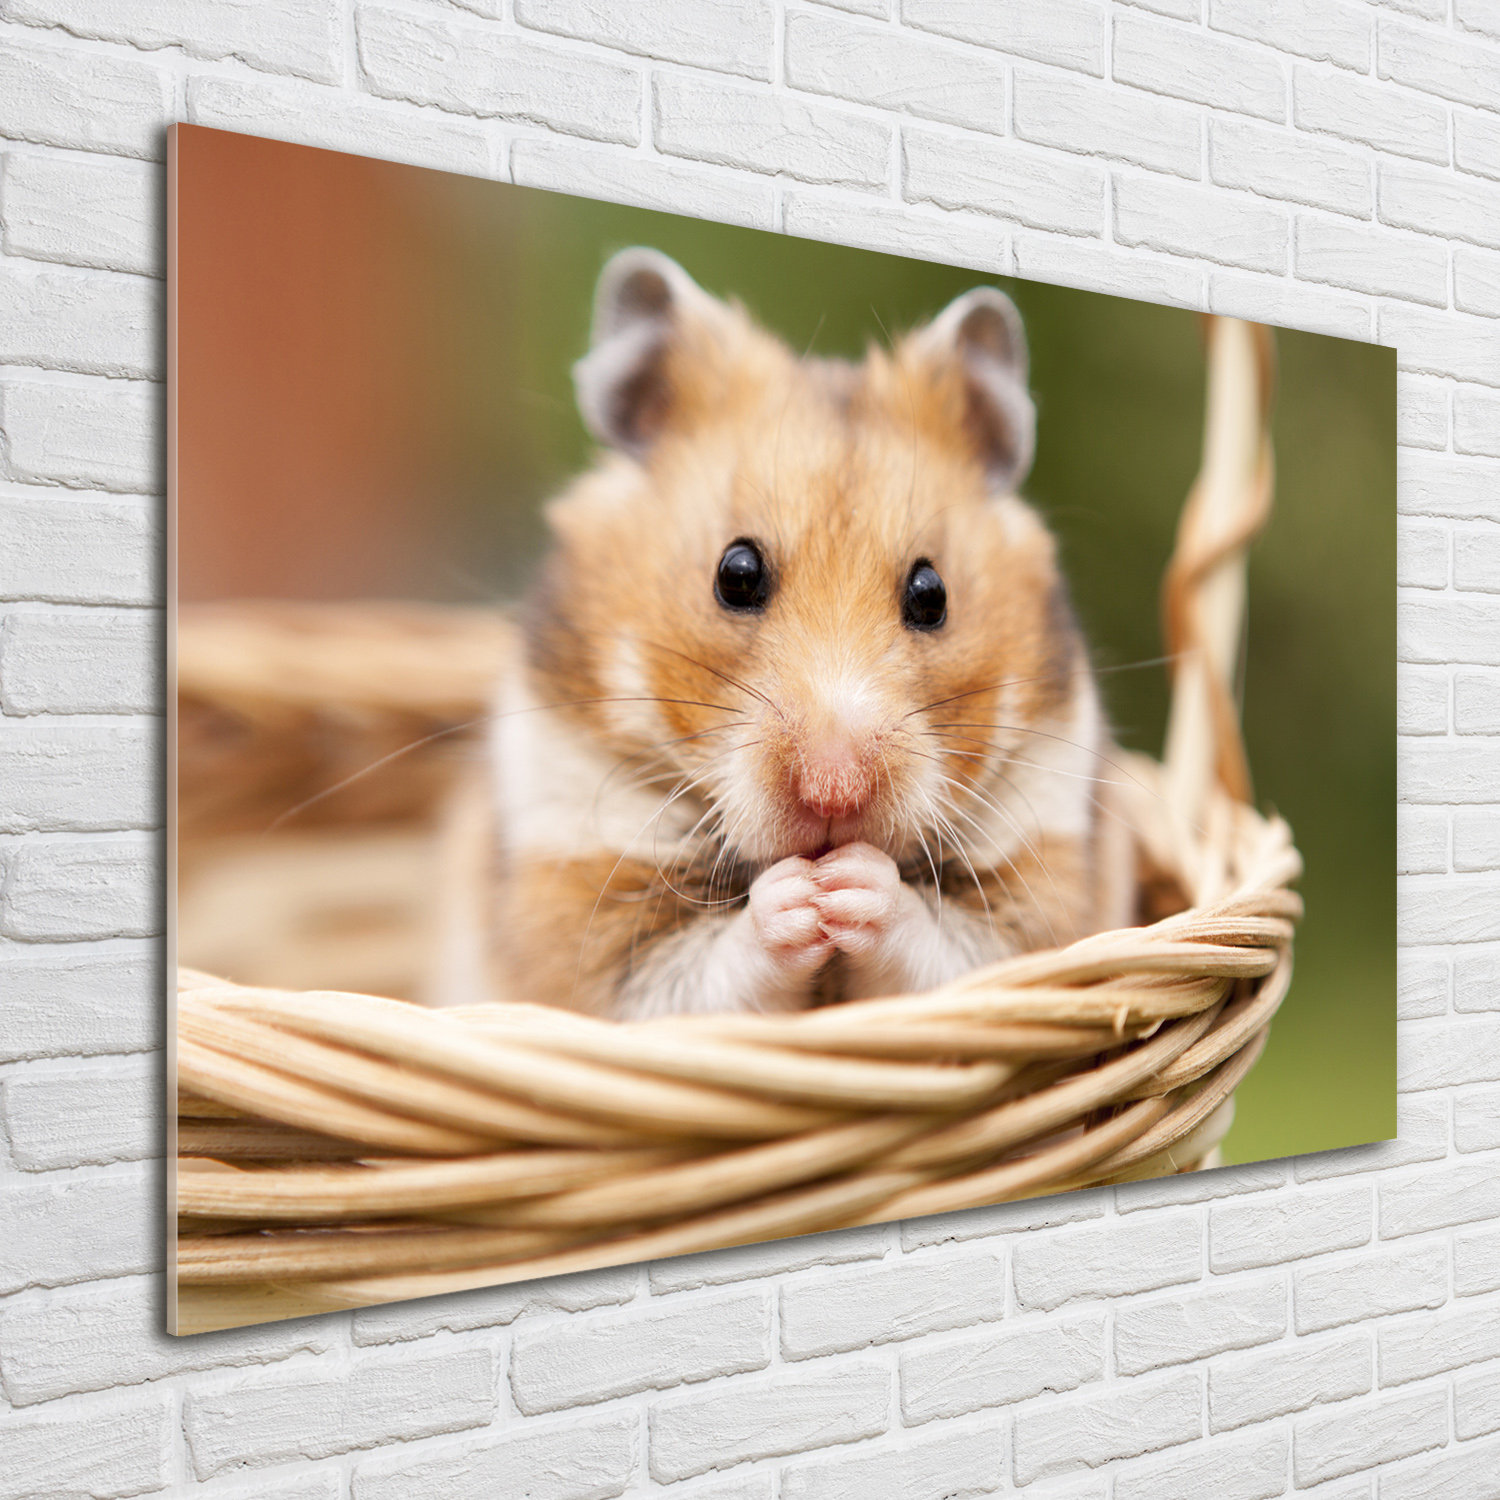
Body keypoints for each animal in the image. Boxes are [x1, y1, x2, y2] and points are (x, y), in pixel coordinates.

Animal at [455, 249, 1136, 1019]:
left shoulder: (1043, 888)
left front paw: (849, 885)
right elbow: (699, 972)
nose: (835, 793)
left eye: (932, 594)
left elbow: (949, 951)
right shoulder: (582, 904)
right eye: (735, 574)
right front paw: (800, 898)